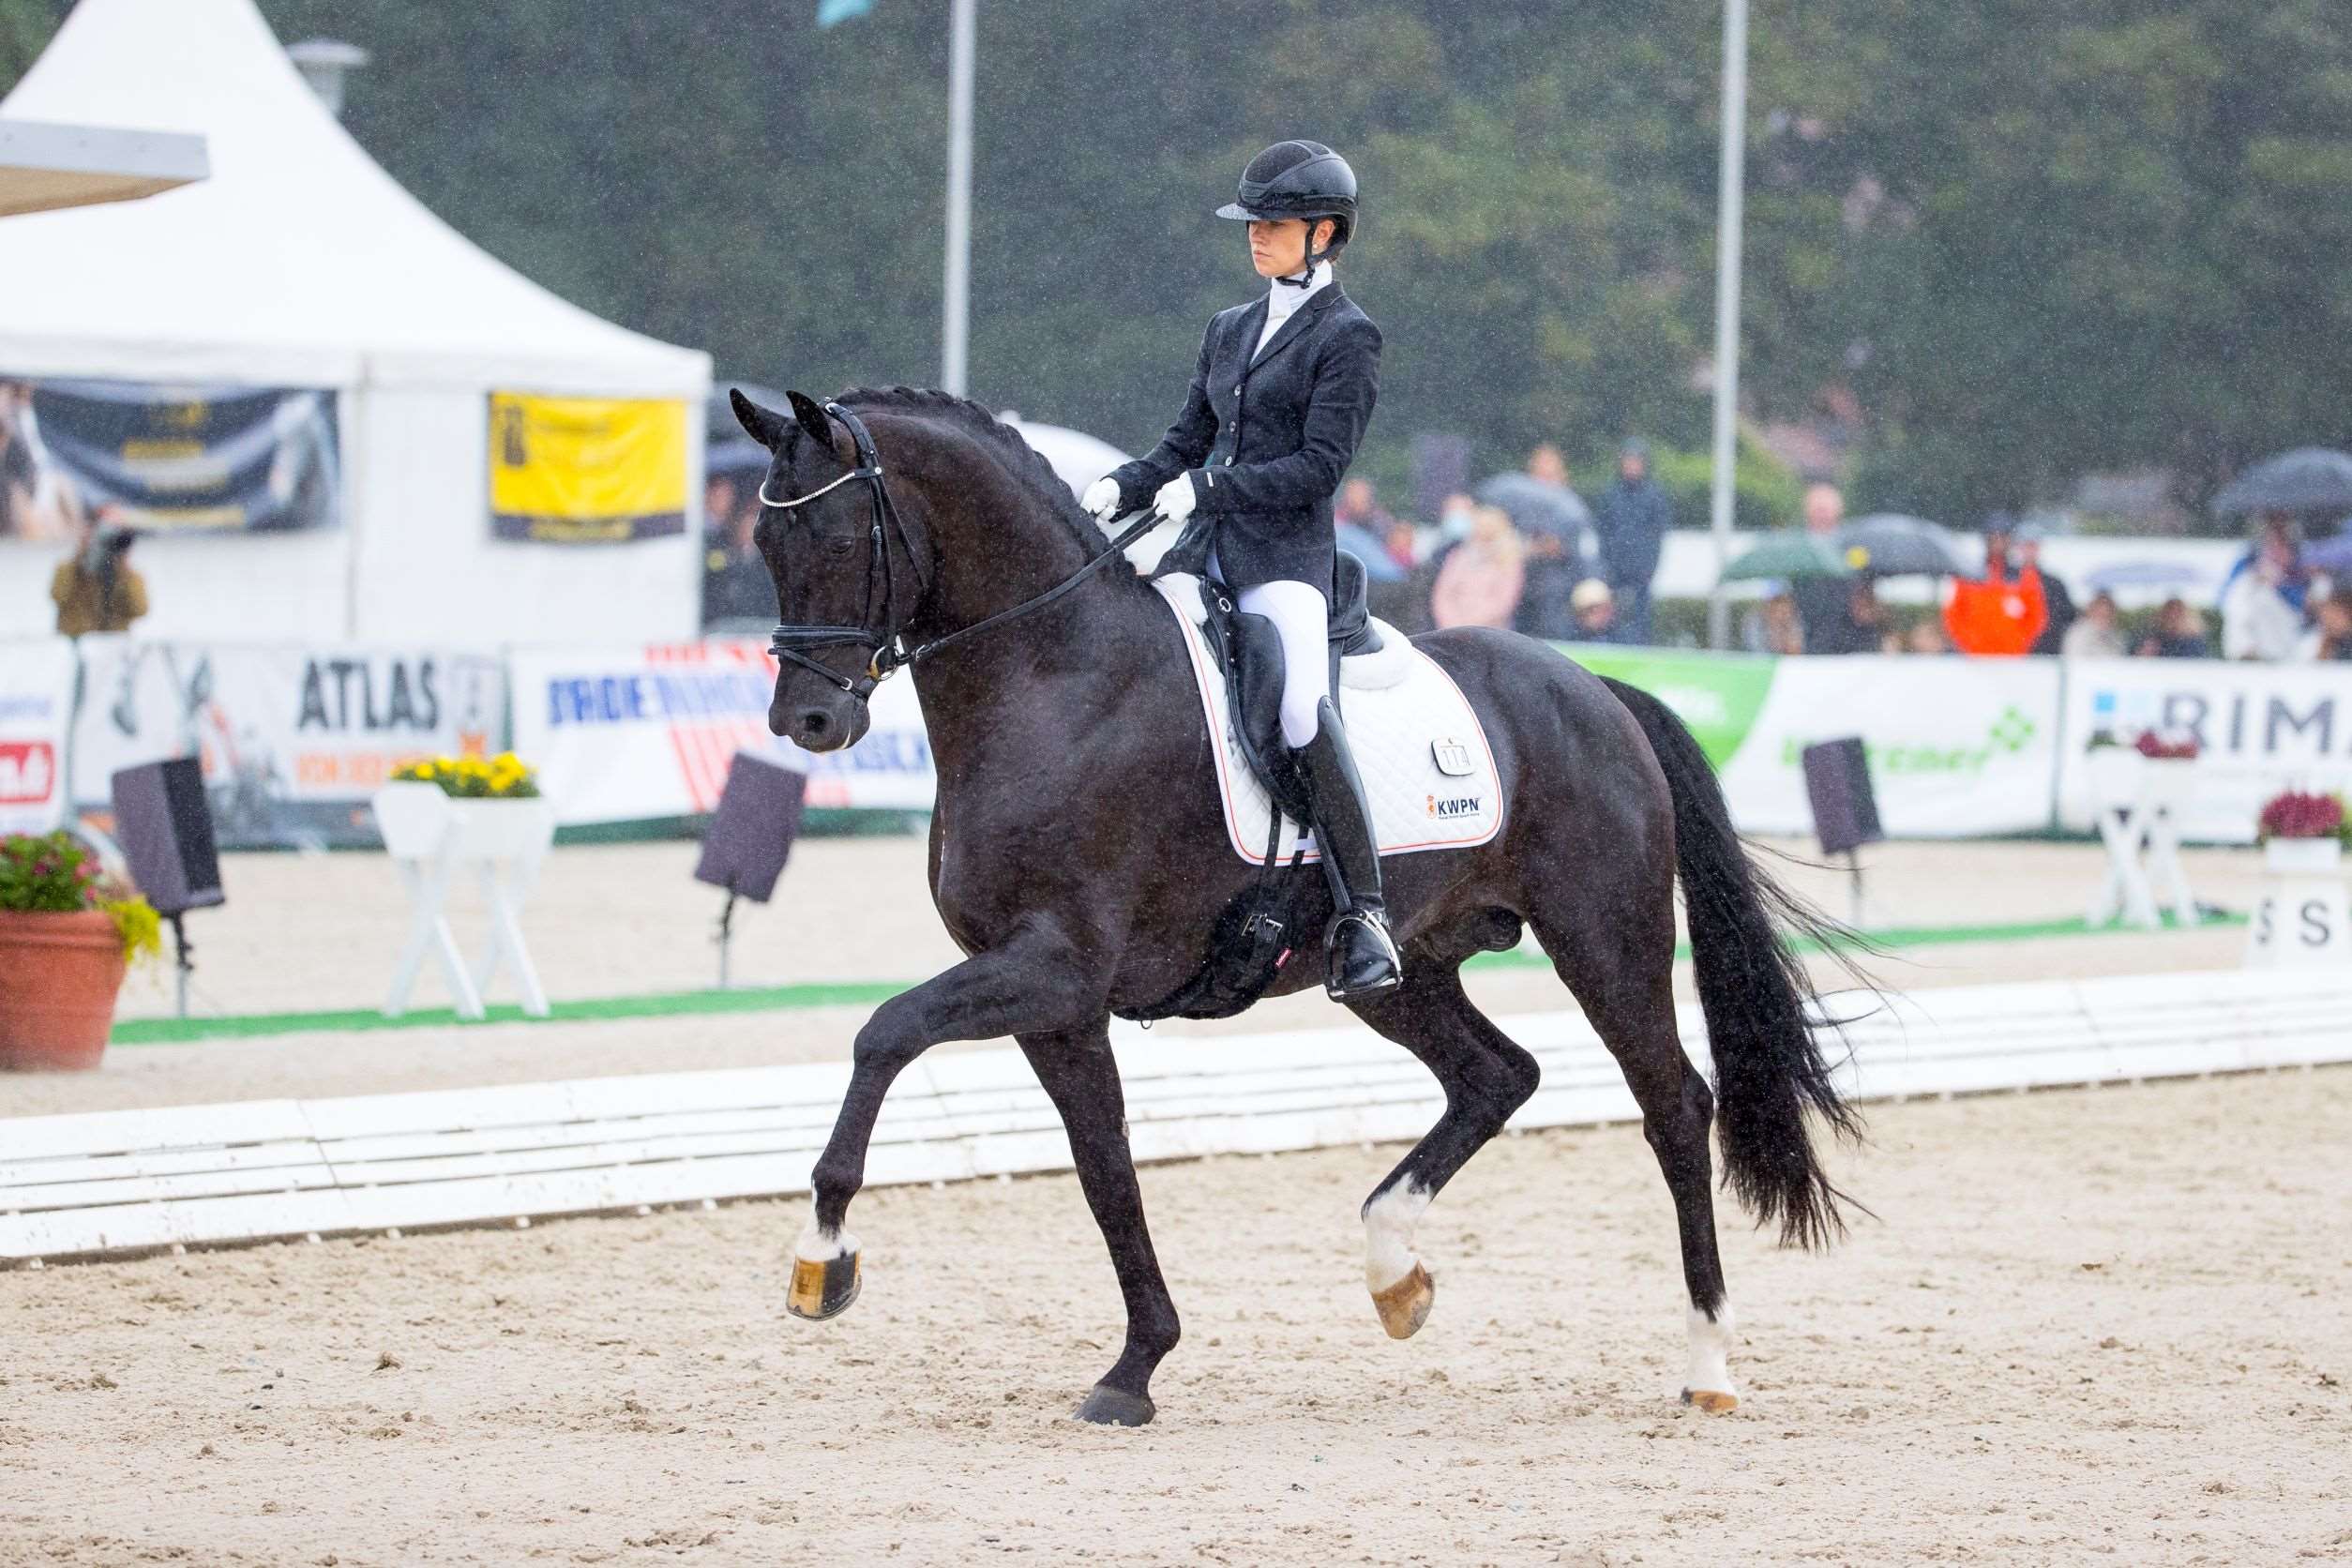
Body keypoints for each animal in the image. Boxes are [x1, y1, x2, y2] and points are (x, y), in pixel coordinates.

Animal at [730, 384, 1861, 1427]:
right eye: (765, 538)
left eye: (839, 534)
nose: (810, 721)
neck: (1056, 678)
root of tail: (1593, 686)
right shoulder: (1060, 1002)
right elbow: (1106, 1168)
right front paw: (1136, 1367)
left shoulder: (1052, 964)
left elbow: (885, 1032)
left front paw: (822, 1259)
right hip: (1400, 970)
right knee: (1497, 1075)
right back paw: (1395, 1271)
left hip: (1605, 939)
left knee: (1673, 1105)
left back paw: (1708, 1363)